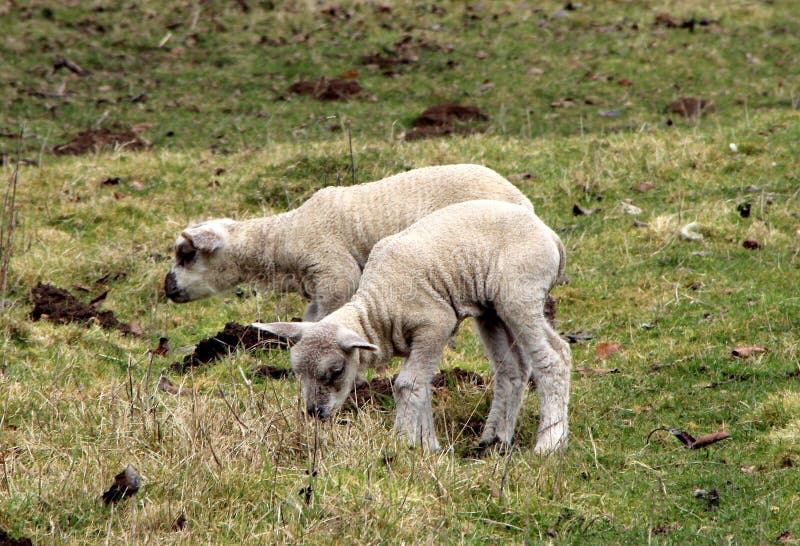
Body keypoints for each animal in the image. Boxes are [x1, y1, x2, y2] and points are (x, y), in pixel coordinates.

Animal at [253, 200, 571, 455]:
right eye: (298, 372)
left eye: (337, 371)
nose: (315, 413)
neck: (380, 306)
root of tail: (551, 235)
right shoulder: (414, 341)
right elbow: (421, 387)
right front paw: (427, 444)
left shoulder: (434, 325)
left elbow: (407, 384)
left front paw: (402, 441)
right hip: (493, 310)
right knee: (515, 368)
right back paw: (495, 439)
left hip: (521, 294)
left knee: (553, 359)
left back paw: (549, 443)